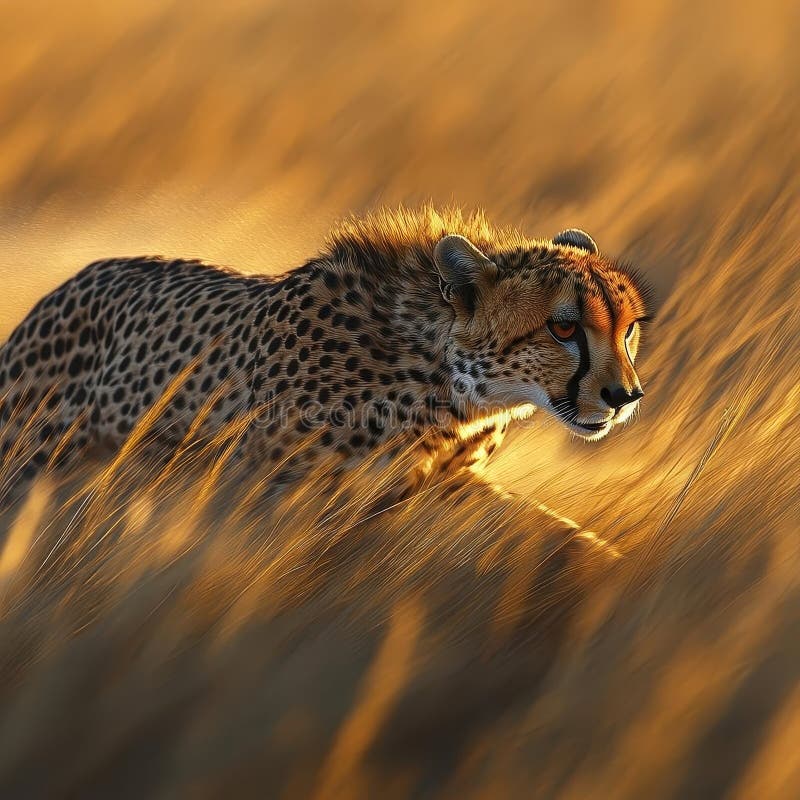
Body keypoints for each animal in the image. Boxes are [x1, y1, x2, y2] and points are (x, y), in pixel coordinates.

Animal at [0, 206, 651, 519]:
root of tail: (77, 276)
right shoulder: (262, 491)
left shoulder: (434, 489)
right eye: (563, 327)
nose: (625, 396)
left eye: (629, 329)